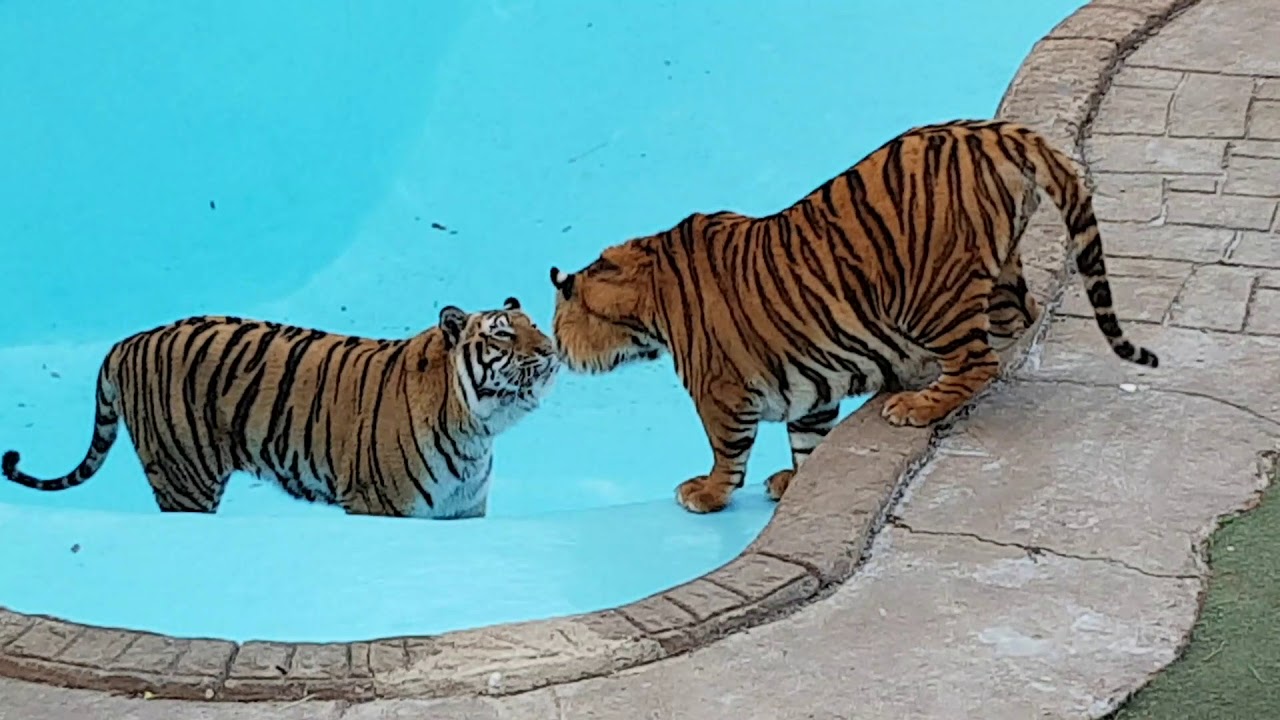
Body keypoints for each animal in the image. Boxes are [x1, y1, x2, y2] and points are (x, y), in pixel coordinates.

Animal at [2, 297, 559, 519]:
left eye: (535, 326)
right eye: (504, 335)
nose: (552, 351)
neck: (477, 430)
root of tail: (126, 341)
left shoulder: (463, 511)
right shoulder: (380, 506)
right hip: (185, 480)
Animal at [547, 119, 1158, 514]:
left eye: (555, 323)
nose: (557, 353)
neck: (643, 298)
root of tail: (998, 131)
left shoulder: (718, 390)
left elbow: (727, 451)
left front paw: (708, 493)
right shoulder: (806, 383)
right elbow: (807, 437)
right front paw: (795, 481)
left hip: (928, 296)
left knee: (977, 363)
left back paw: (914, 405)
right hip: (1001, 270)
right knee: (1016, 324)